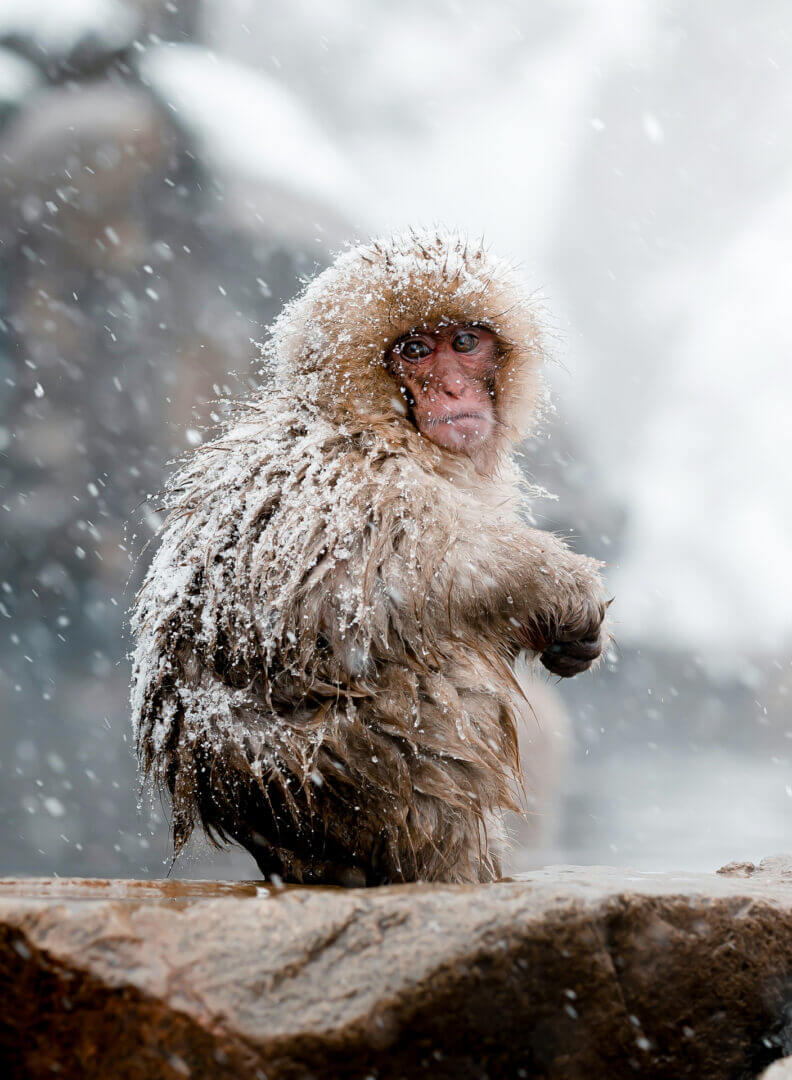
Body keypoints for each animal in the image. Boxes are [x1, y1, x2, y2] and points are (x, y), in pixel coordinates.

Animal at [130, 229, 607, 886]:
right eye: (415, 350)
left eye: (464, 344)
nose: (453, 389)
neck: (370, 422)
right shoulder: (357, 484)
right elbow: (384, 580)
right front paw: (559, 585)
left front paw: (568, 640)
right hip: (353, 774)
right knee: (440, 684)